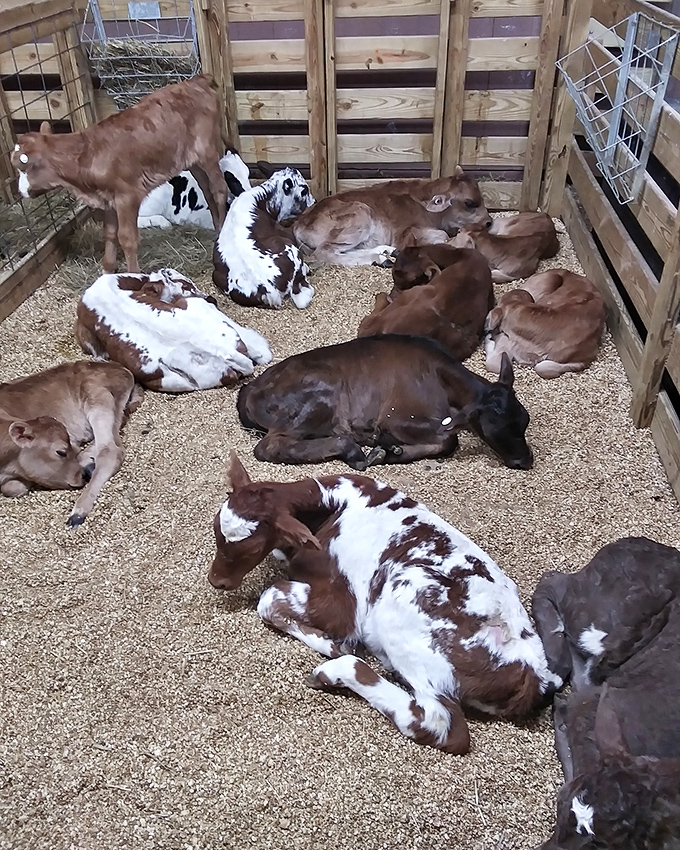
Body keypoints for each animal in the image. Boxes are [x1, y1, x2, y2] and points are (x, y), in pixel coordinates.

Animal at [0, 360, 141, 526]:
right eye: (60, 452)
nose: (82, 476)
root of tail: (120, 367)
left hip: (97, 397)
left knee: (110, 450)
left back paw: (78, 511)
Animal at [11, 75, 228, 273]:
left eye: (23, 167)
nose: (20, 191)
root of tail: (196, 80)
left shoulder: (127, 196)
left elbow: (127, 238)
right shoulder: (108, 198)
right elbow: (109, 234)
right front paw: (107, 272)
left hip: (208, 150)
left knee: (219, 189)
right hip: (191, 160)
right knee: (207, 189)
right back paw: (218, 228)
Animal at [207, 453, 562, 753]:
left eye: (248, 548)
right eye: (216, 531)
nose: (216, 580)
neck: (334, 506)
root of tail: (533, 674)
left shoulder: (343, 605)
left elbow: (269, 599)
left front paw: (332, 644)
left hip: (405, 607)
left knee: (441, 724)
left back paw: (335, 670)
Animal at [237, 335, 534, 470]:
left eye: (524, 420)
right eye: (493, 427)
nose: (525, 460)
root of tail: (249, 390)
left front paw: (393, 449)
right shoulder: (396, 417)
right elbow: (450, 439)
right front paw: (389, 449)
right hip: (318, 398)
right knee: (269, 446)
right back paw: (355, 451)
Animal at [291, 168, 492, 267]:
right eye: (469, 203)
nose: (489, 221)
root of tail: (298, 224)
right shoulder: (403, 234)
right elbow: (441, 235)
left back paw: (384, 253)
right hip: (360, 214)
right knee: (325, 252)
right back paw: (379, 258)